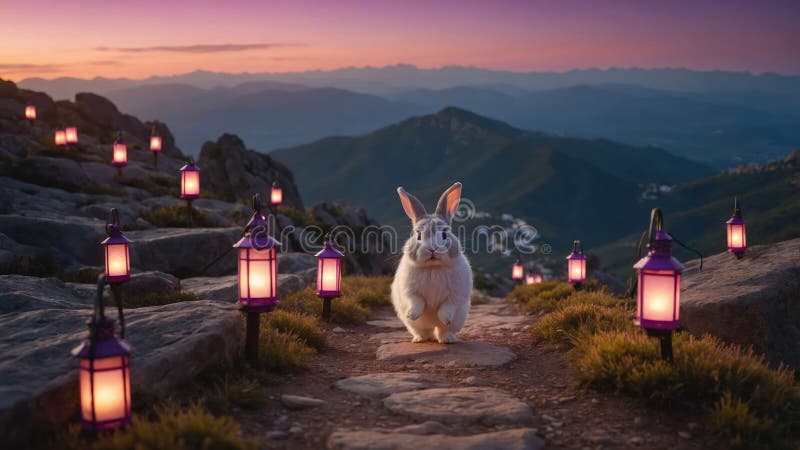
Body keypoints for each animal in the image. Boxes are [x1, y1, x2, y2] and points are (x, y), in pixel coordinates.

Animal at [391, 182, 473, 344]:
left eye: (444, 234)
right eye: (418, 235)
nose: (432, 248)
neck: (433, 268)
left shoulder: (456, 294)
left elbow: (447, 307)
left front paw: (445, 319)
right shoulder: (409, 290)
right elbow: (416, 302)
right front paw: (412, 314)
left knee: (442, 330)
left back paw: (447, 339)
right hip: (413, 326)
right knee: (423, 331)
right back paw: (419, 339)